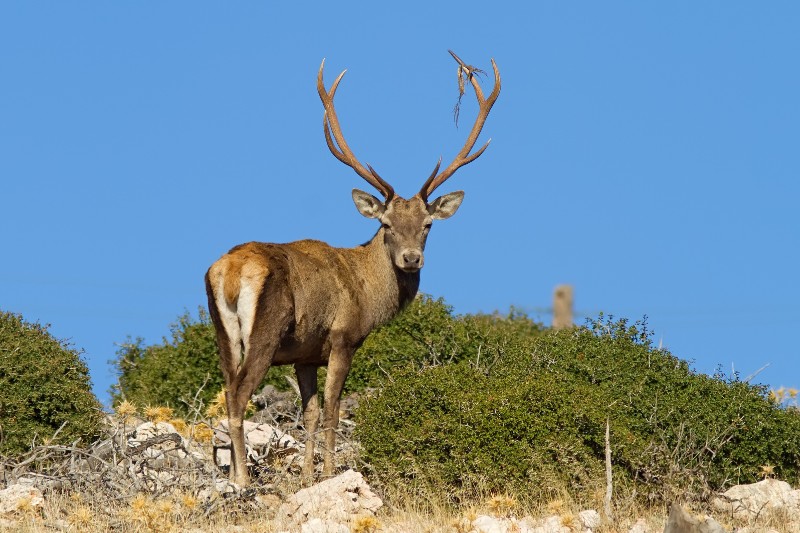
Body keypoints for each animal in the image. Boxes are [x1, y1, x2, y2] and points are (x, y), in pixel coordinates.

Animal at [205, 51, 500, 486]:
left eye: (427, 224)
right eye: (386, 224)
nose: (411, 258)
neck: (367, 293)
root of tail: (230, 271)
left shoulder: (305, 355)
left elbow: (309, 413)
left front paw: (307, 475)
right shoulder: (343, 337)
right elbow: (333, 408)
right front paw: (330, 472)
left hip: (223, 333)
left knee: (226, 388)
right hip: (265, 332)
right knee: (239, 393)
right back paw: (241, 479)